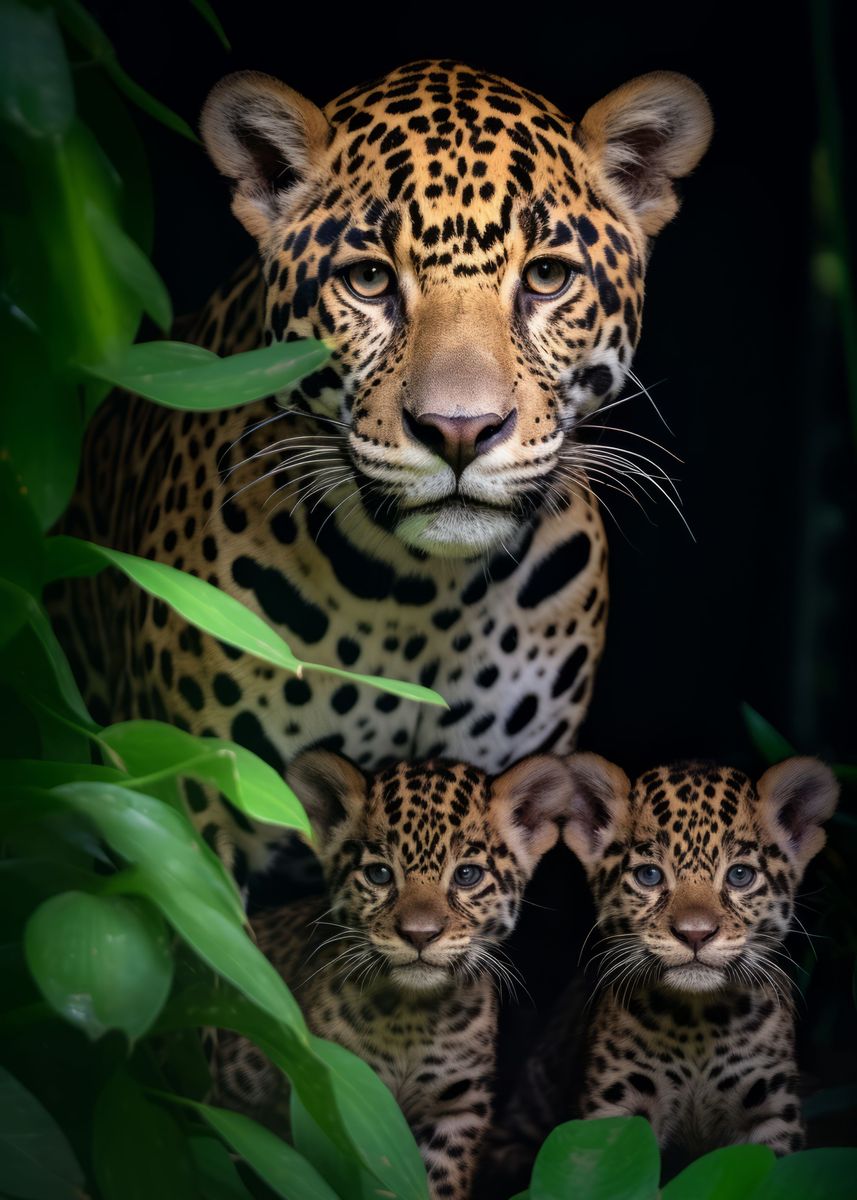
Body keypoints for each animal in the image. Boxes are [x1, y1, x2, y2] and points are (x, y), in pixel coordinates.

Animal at [214, 748, 571, 1199]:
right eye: (380, 874)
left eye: (467, 875)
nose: (420, 934)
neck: (409, 1017)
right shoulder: (332, 1092)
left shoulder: (459, 1107)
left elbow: (439, 1182)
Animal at [480, 753, 839, 1189]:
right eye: (649, 875)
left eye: (740, 875)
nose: (695, 934)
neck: (700, 1020)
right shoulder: (614, 1109)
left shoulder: (772, 1110)